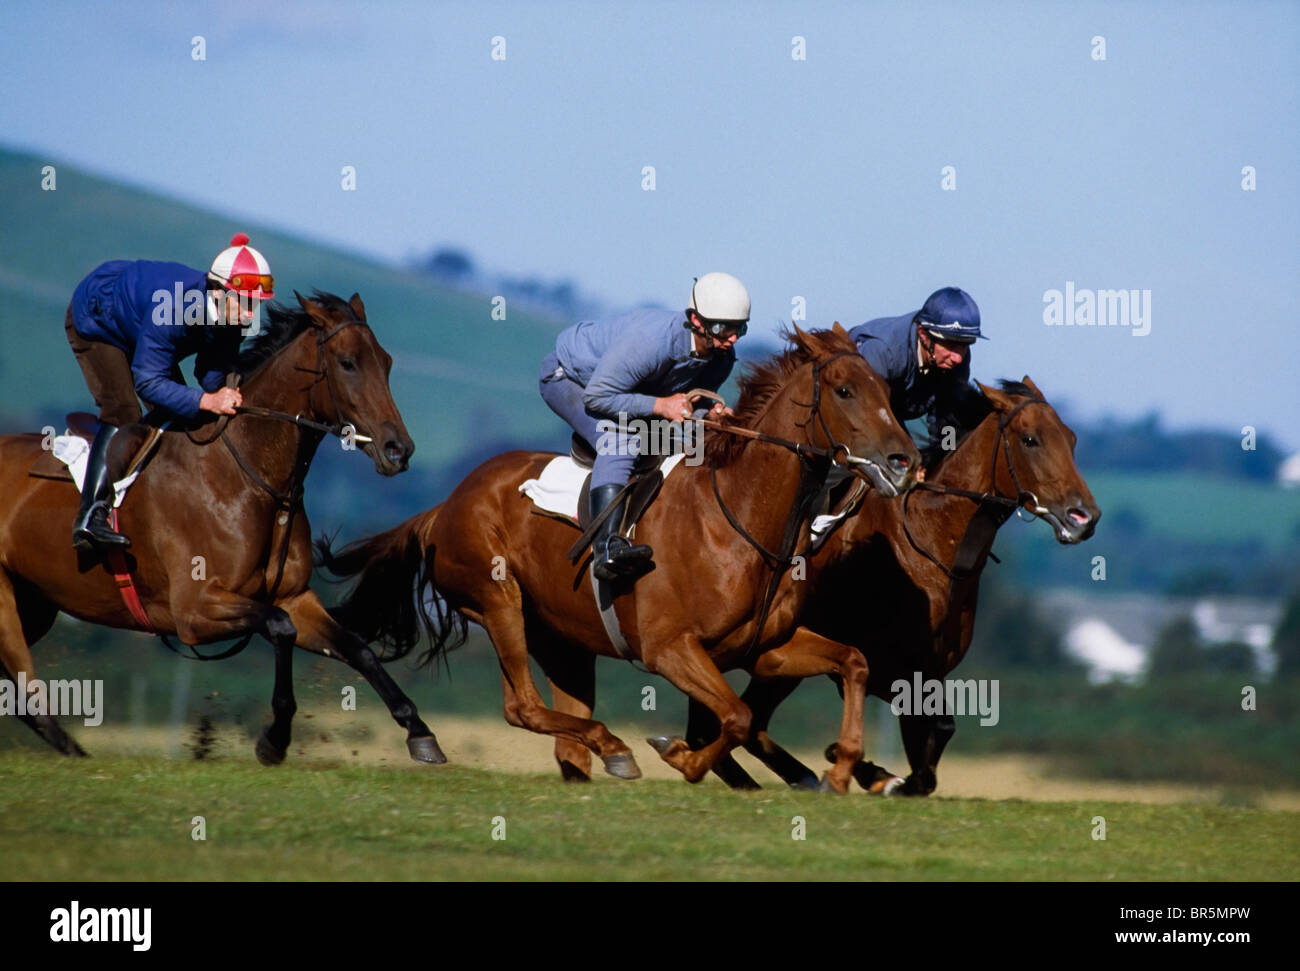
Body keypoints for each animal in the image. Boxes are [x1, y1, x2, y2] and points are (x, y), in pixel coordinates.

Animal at [0, 291, 446, 765]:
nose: (398, 450)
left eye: (387, 361)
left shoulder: (293, 597)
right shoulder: (194, 611)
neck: (245, 477)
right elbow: (279, 628)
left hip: (36, 603)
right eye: (347, 363)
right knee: (24, 690)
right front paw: (275, 737)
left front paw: (419, 732)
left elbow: (356, 647)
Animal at [318, 324, 920, 791]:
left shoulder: (764, 650)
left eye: (886, 390)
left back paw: (599, 755)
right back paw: (615, 748)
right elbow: (737, 715)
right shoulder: (670, 649)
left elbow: (852, 662)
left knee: (557, 727)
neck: (740, 521)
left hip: (561, 640)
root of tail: (445, 505)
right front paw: (679, 755)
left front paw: (843, 768)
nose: (903, 462)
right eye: (844, 390)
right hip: (497, 601)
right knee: (521, 707)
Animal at [682, 376, 1101, 794]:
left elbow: (939, 737)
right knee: (732, 723)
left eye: (1072, 438)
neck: (931, 542)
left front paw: (878, 774)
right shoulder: (884, 668)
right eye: (1030, 439)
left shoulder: (924, 673)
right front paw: (865, 769)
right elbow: (929, 729)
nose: (1084, 517)